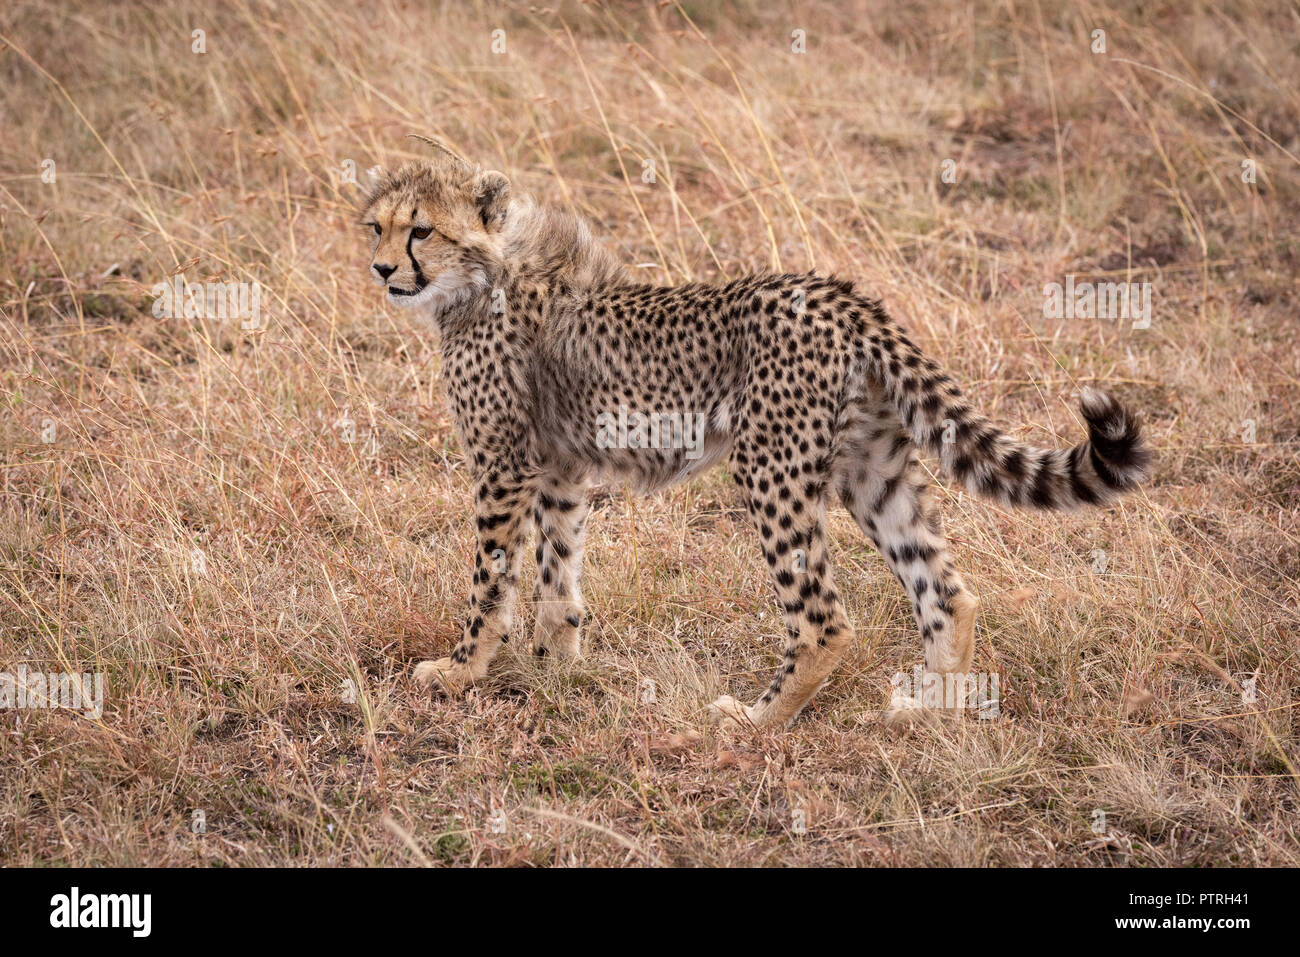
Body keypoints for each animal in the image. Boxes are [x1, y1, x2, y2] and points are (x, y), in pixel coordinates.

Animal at [358, 138, 1150, 730]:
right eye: (377, 225)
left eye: (421, 229)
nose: (382, 268)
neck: (482, 275)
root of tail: (841, 295)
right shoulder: (558, 467)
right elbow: (559, 571)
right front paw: (556, 667)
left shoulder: (505, 466)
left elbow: (491, 576)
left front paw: (461, 670)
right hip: (871, 469)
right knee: (945, 591)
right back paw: (933, 713)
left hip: (770, 464)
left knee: (824, 619)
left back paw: (757, 718)